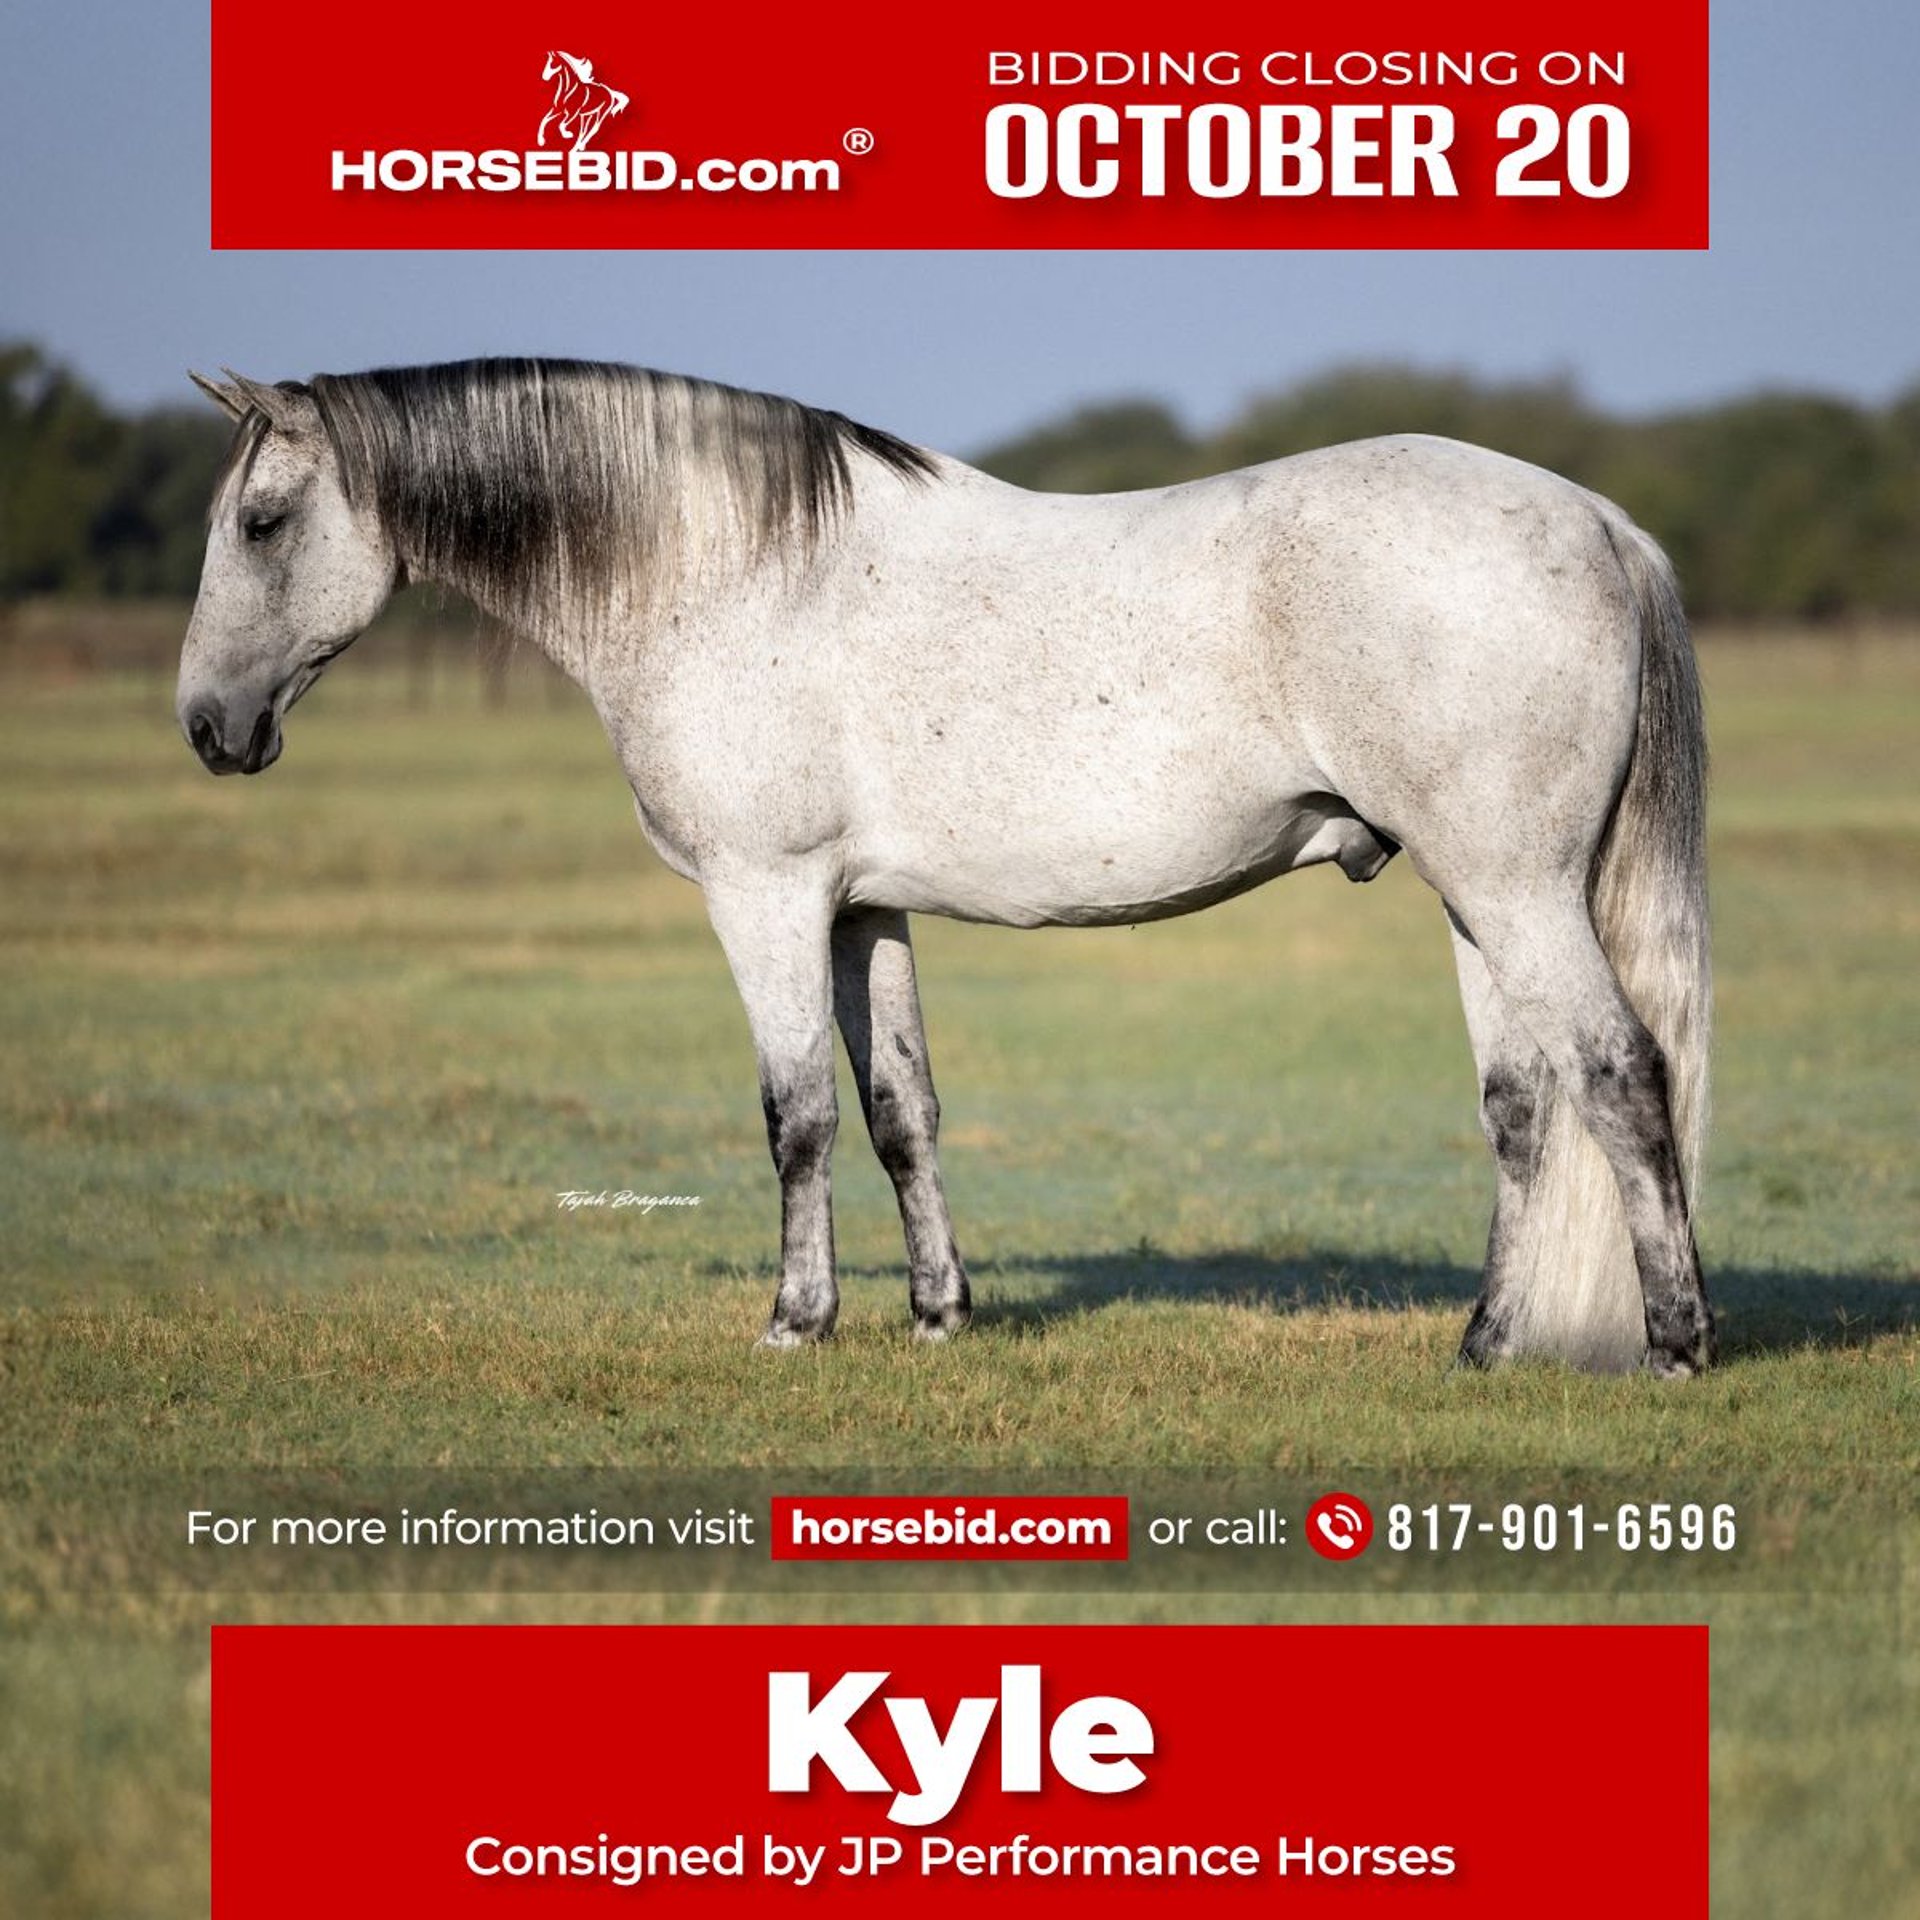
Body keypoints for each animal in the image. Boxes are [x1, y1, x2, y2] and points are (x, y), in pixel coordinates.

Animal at [177, 358, 1713, 1376]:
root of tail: (1599, 521)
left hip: (1515, 892)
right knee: (1524, 1108)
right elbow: (897, 1109)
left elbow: (796, 1113)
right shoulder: (863, 912)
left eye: (261, 522)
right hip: (1475, 897)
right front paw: (936, 1315)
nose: (207, 728)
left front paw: (796, 1323)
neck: (730, 571)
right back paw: (1485, 1342)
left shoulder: (767, 895)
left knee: (1624, 1078)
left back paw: (1679, 1341)